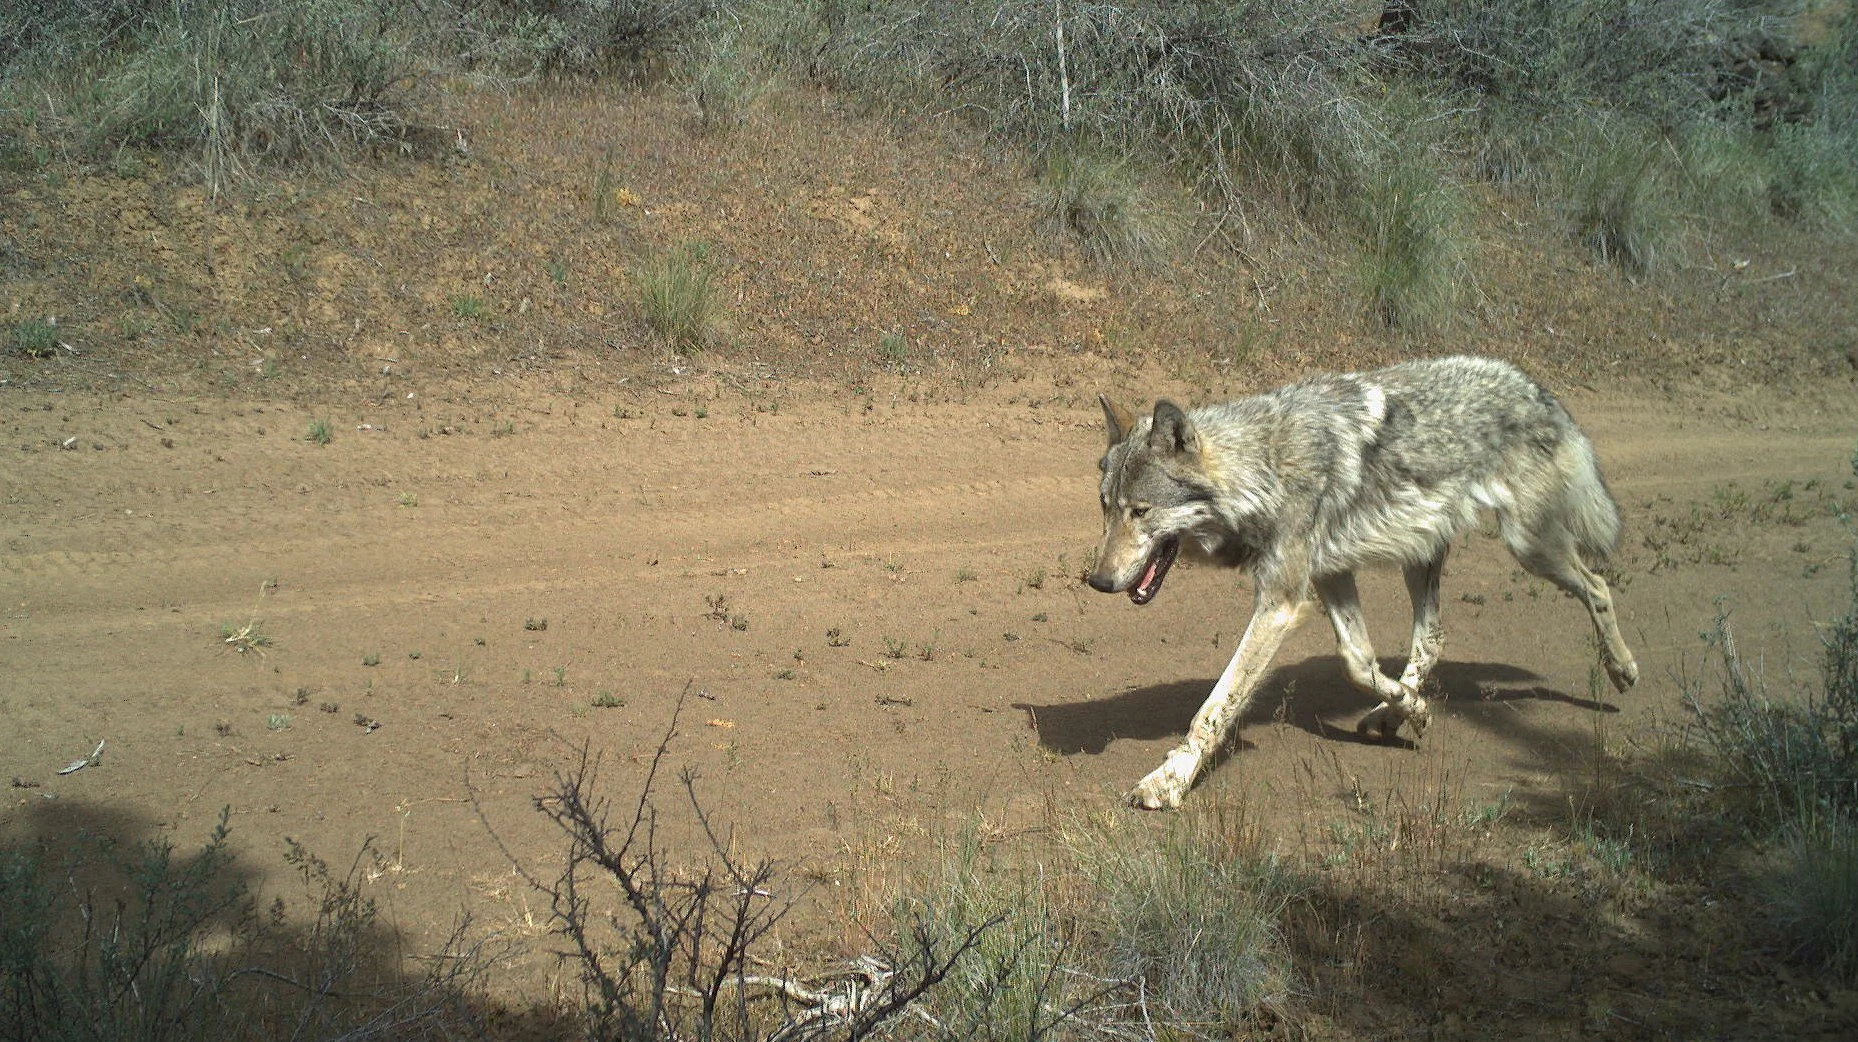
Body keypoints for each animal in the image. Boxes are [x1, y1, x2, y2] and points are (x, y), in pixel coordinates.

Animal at [1089, 355, 1638, 810]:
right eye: (1105, 506)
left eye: (1141, 511)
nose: (1097, 580)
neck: (1265, 470)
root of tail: (1535, 387)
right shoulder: (1329, 576)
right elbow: (1358, 661)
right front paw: (1412, 709)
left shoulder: (1280, 603)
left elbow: (1214, 708)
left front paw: (1168, 781)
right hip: (1425, 555)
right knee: (1432, 639)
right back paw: (1391, 716)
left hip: (1531, 547)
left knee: (1598, 585)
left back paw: (1622, 669)